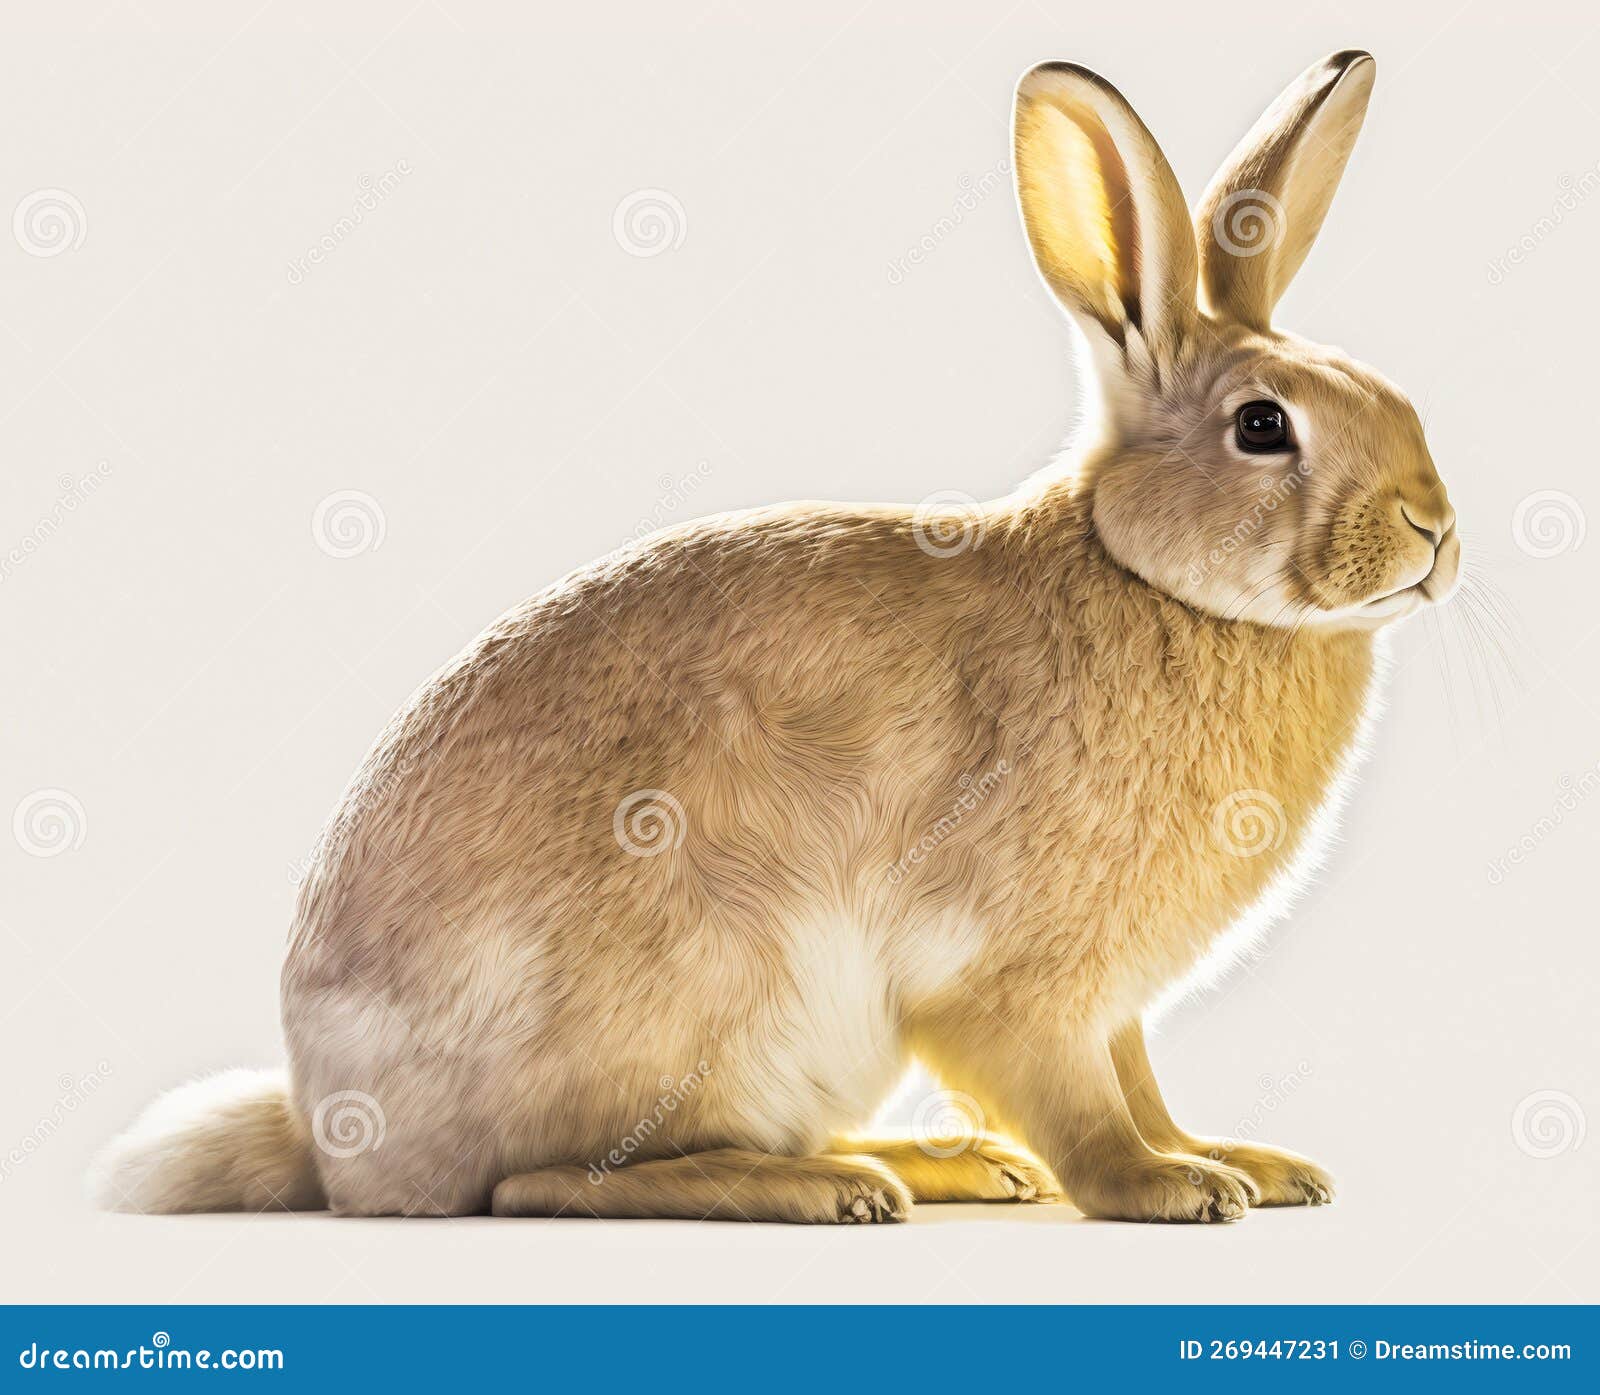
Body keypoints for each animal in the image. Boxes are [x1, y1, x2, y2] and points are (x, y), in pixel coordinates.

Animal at [91, 48, 1458, 1225]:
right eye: (1263, 426)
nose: (1434, 531)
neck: (1150, 578)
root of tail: (340, 1146)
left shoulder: (1108, 1001)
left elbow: (1139, 1080)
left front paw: (1241, 1163)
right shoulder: (1009, 982)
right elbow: (1077, 1102)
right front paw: (1164, 1188)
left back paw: (942, 1164)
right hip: (702, 990)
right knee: (541, 1183)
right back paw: (833, 1189)